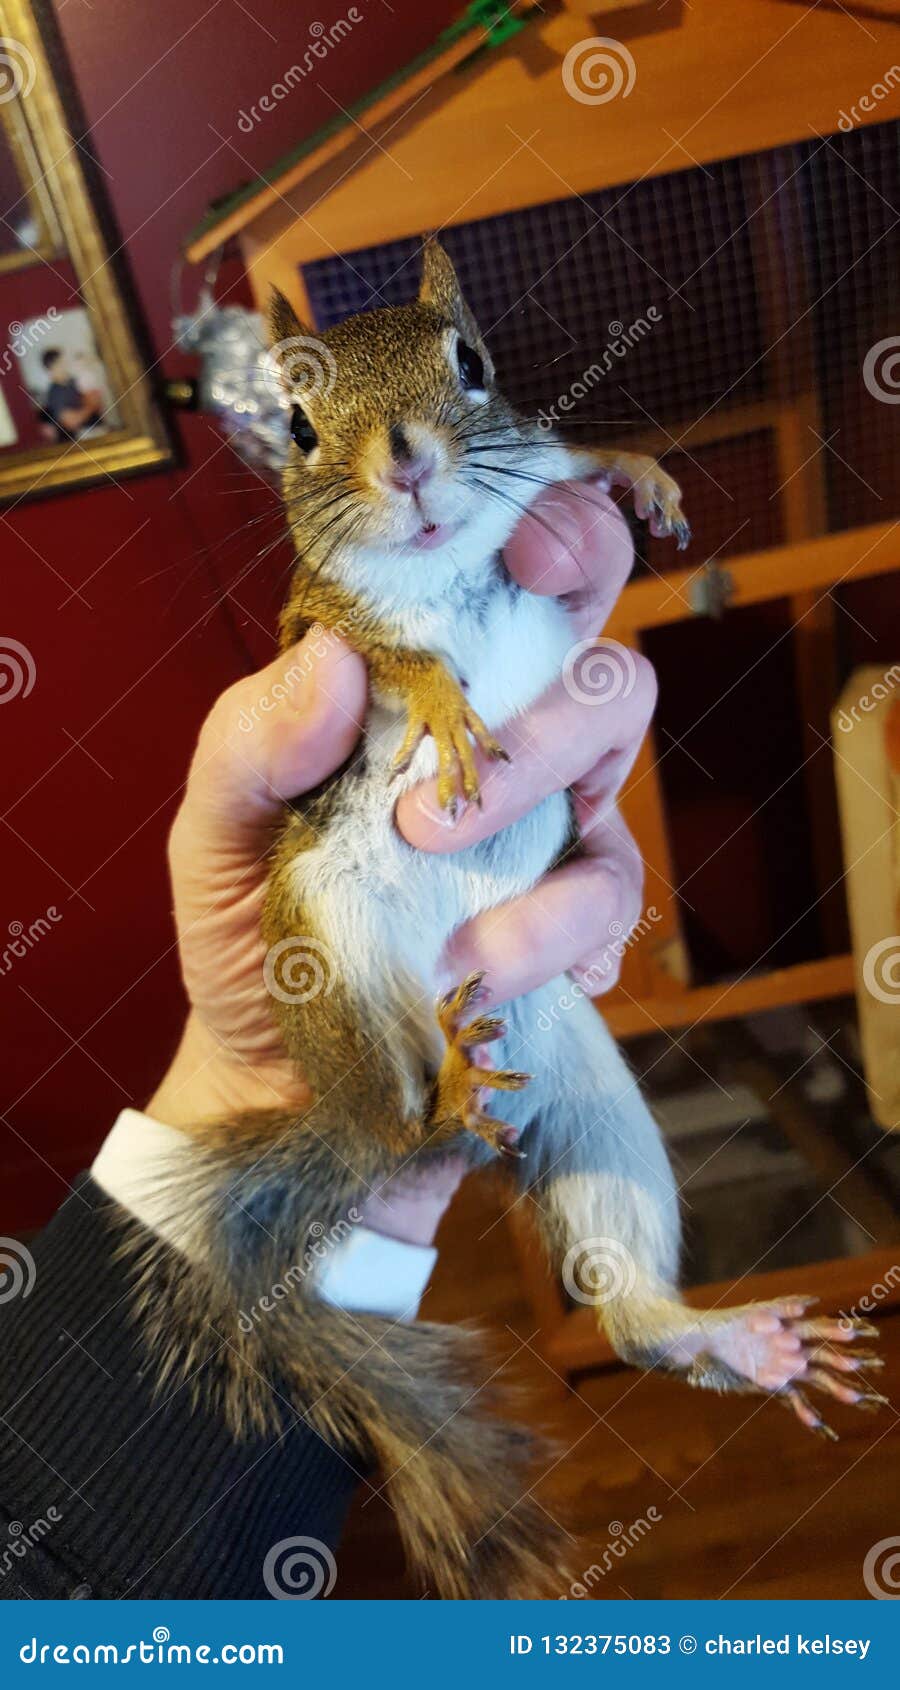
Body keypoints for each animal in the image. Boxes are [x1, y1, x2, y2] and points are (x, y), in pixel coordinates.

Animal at [132, 241, 883, 1599]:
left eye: (471, 362)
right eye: (300, 427)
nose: (409, 465)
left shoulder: (527, 462)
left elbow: (564, 459)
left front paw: (638, 471)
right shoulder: (307, 628)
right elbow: (375, 646)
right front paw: (435, 690)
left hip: (587, 1091)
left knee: (626, 1310)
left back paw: (730, 1342)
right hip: (327, 957)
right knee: (399, 1131)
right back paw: (441, 1101)